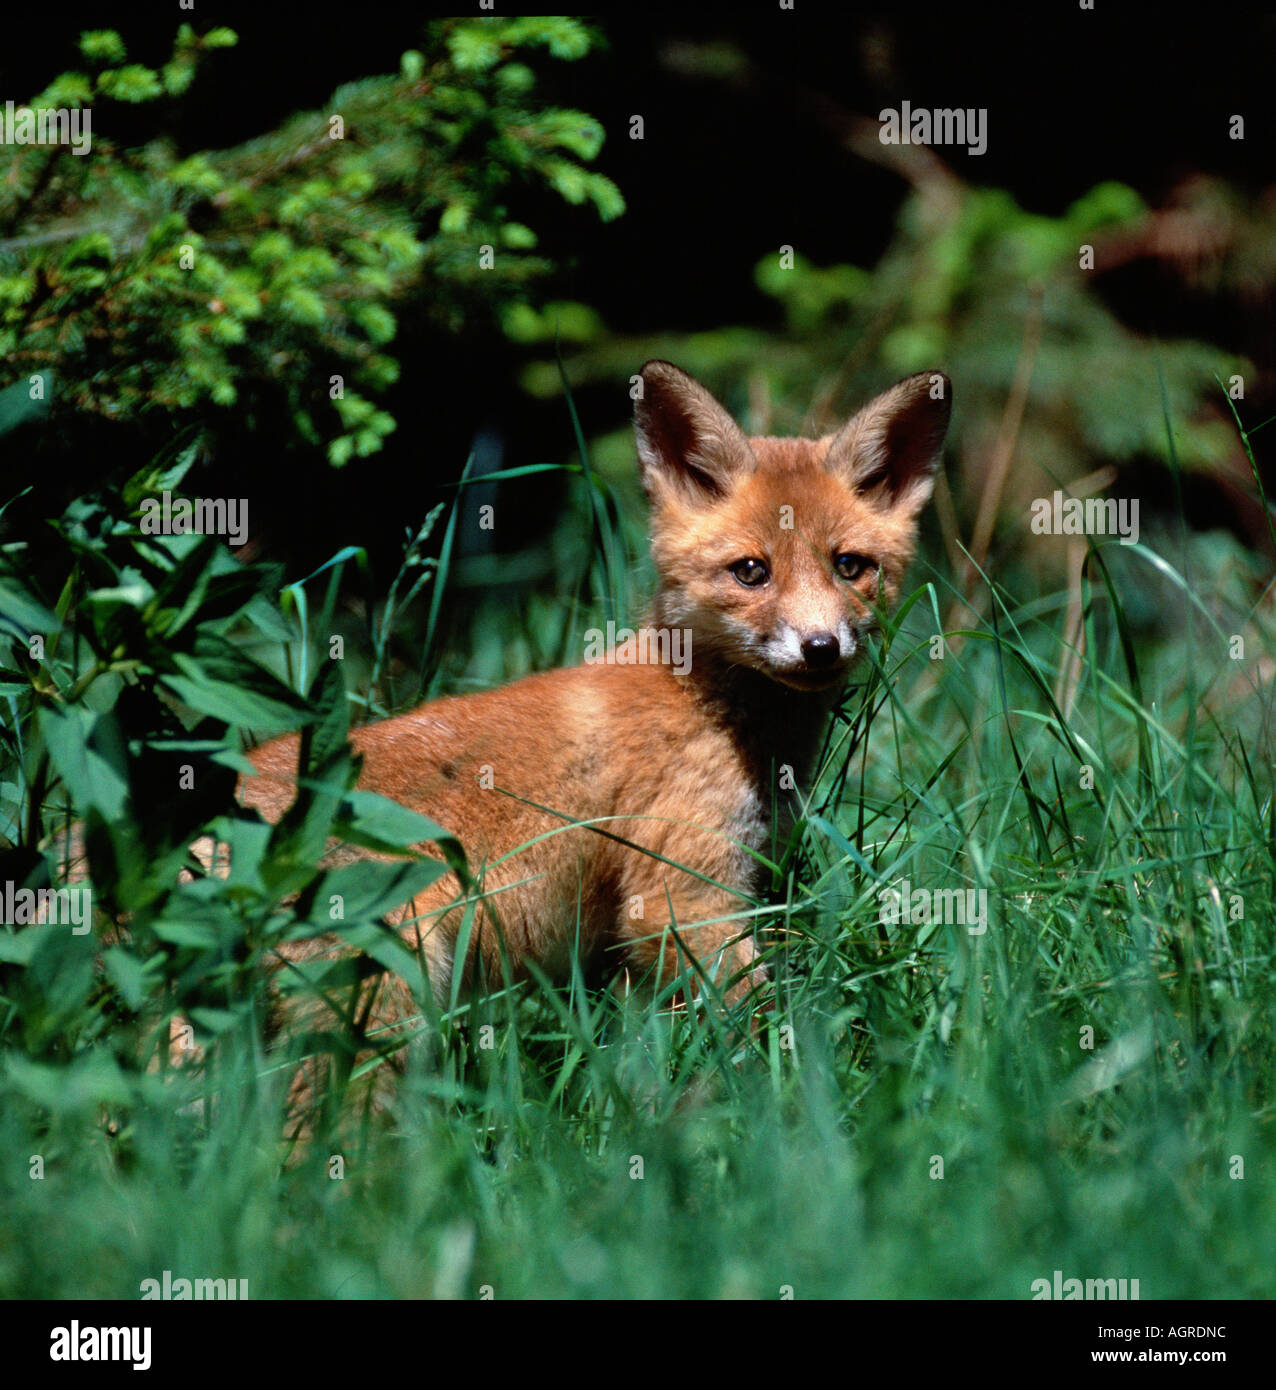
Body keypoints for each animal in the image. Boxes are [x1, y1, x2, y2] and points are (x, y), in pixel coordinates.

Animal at [240, 360, 951, 1085]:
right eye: (752, 572)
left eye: (850, 566)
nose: (821, 647)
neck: (709, 707)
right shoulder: (676, 894)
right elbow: (762, 1023)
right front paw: (798, 1088)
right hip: (380, 999)